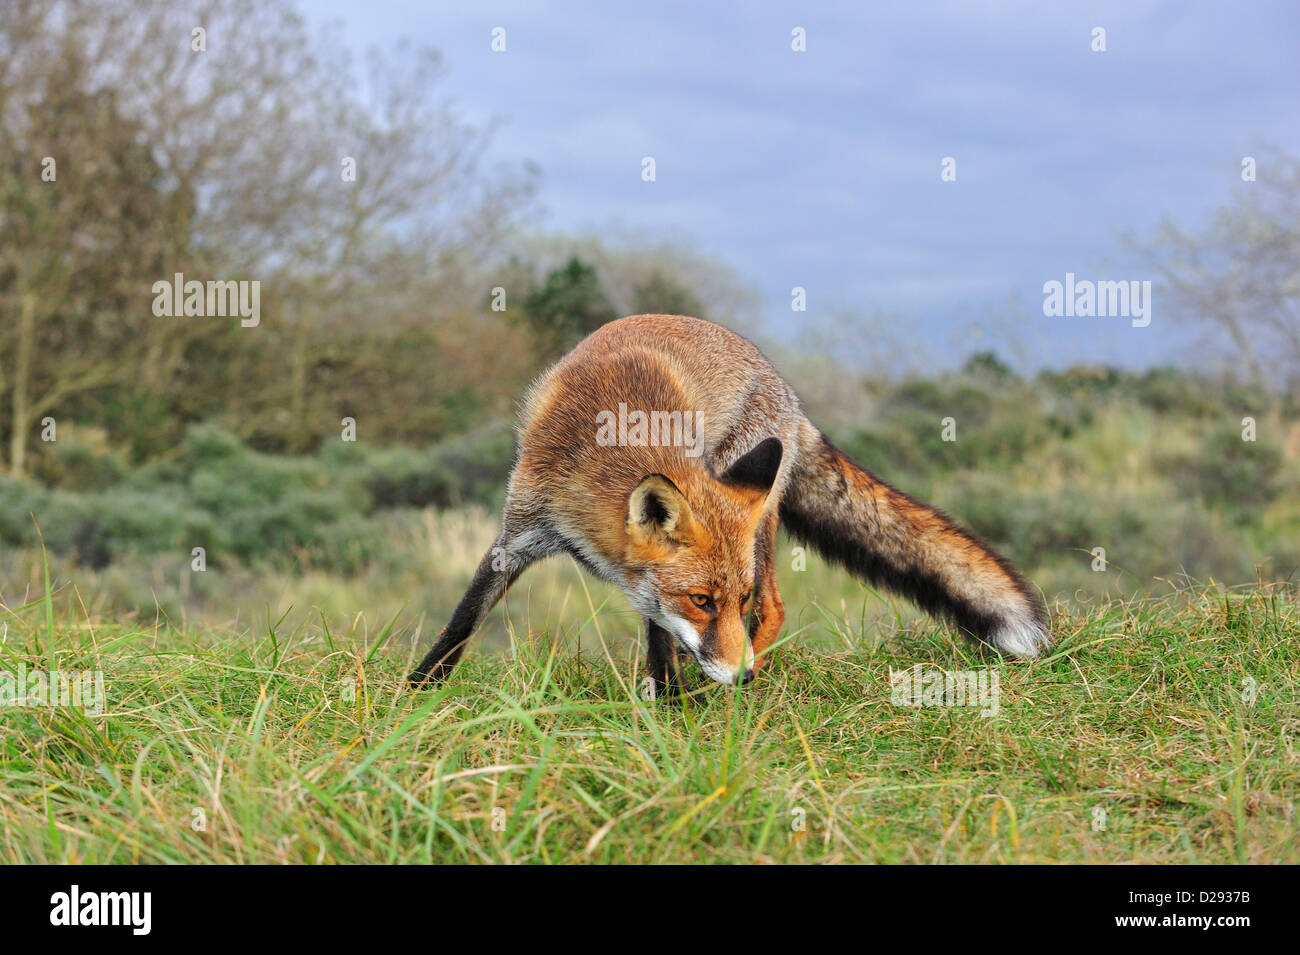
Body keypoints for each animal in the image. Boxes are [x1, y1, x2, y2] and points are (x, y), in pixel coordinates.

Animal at [409, 313, 1049, 693]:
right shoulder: (519, 533)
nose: (738, 677)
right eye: (700, 600)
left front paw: (667, 703)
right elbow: (461, 623)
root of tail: (789, 394)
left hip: (759, 517)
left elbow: (659, 636)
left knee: (777, 606)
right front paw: (419, 694)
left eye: (729, 600)